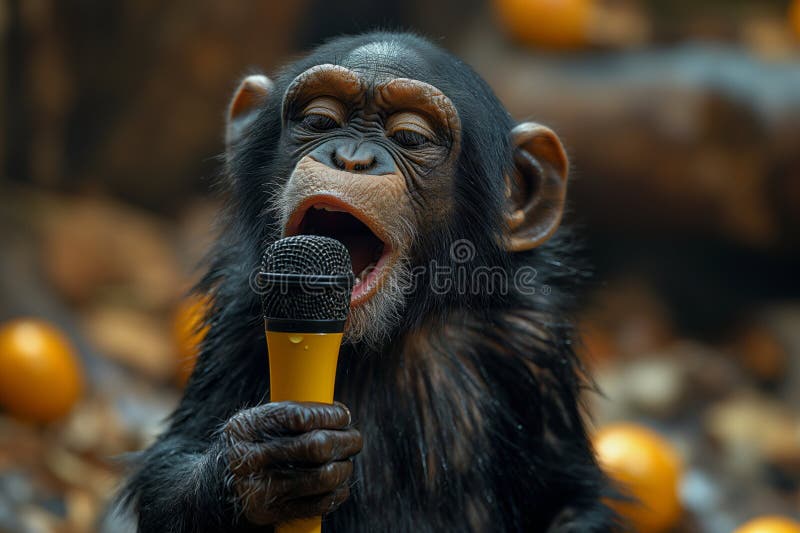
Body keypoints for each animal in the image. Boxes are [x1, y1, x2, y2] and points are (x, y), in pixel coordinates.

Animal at [115, 32, 618, 532]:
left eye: (410, 137)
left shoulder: (533, 343)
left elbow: (565, 498)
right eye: (319, 120)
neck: (394, 331)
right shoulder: (237, 318)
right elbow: (167, 478)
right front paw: (265, 460)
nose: (351, 158)